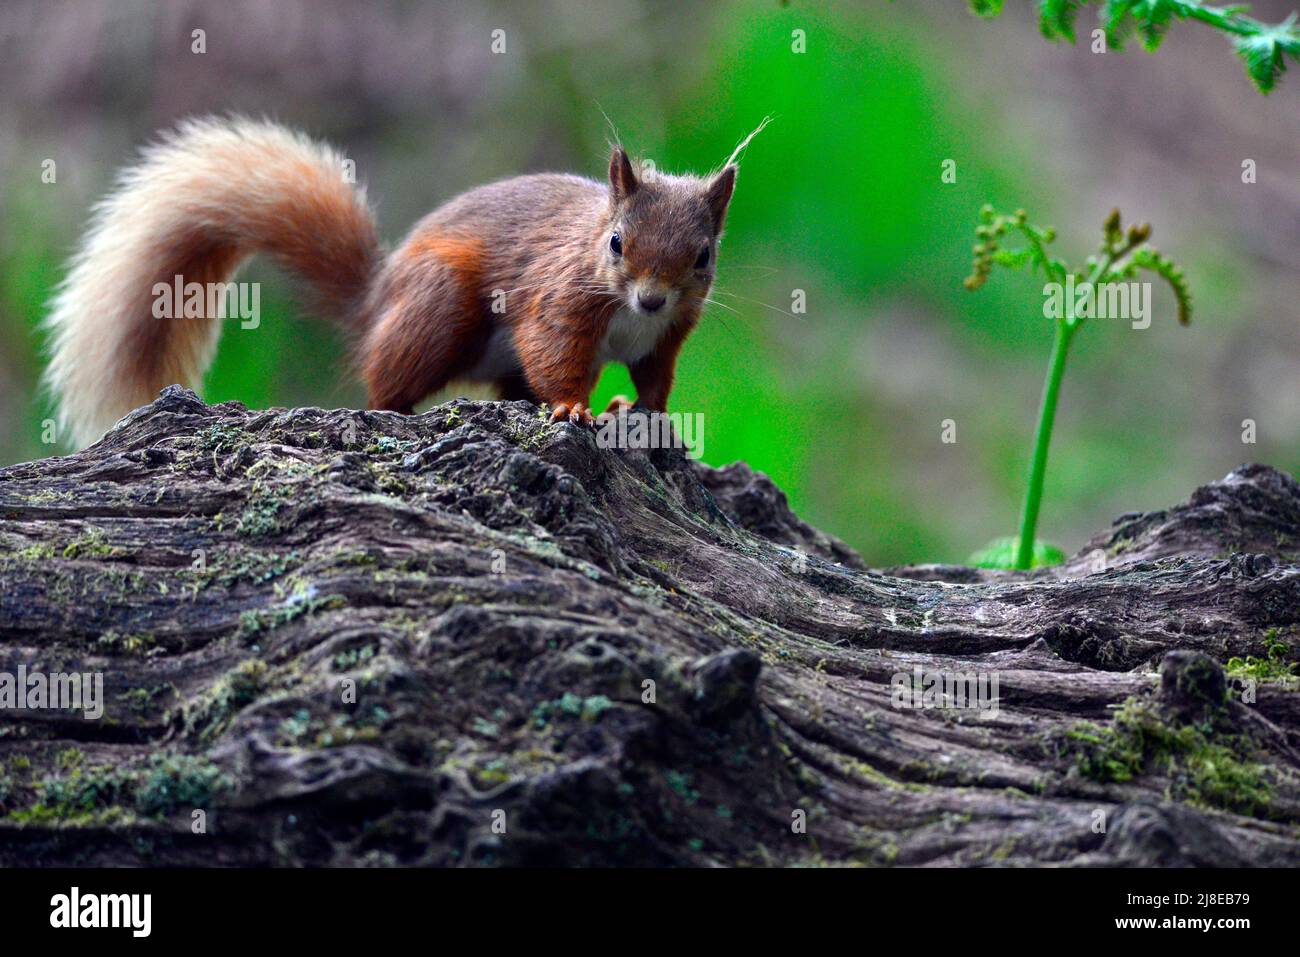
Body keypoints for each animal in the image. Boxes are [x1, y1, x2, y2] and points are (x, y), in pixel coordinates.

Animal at [42, 116, 739, 449]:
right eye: (616, 243)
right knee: (386, 387)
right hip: (440, 305)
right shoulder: (559, 298)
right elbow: (554, 352)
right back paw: (400, 409)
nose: (651, 297)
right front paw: (573, 406)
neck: (632, 315)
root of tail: (375, 303)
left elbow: (654, 376)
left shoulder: (668, 334)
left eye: (703, 257)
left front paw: (649, 413)